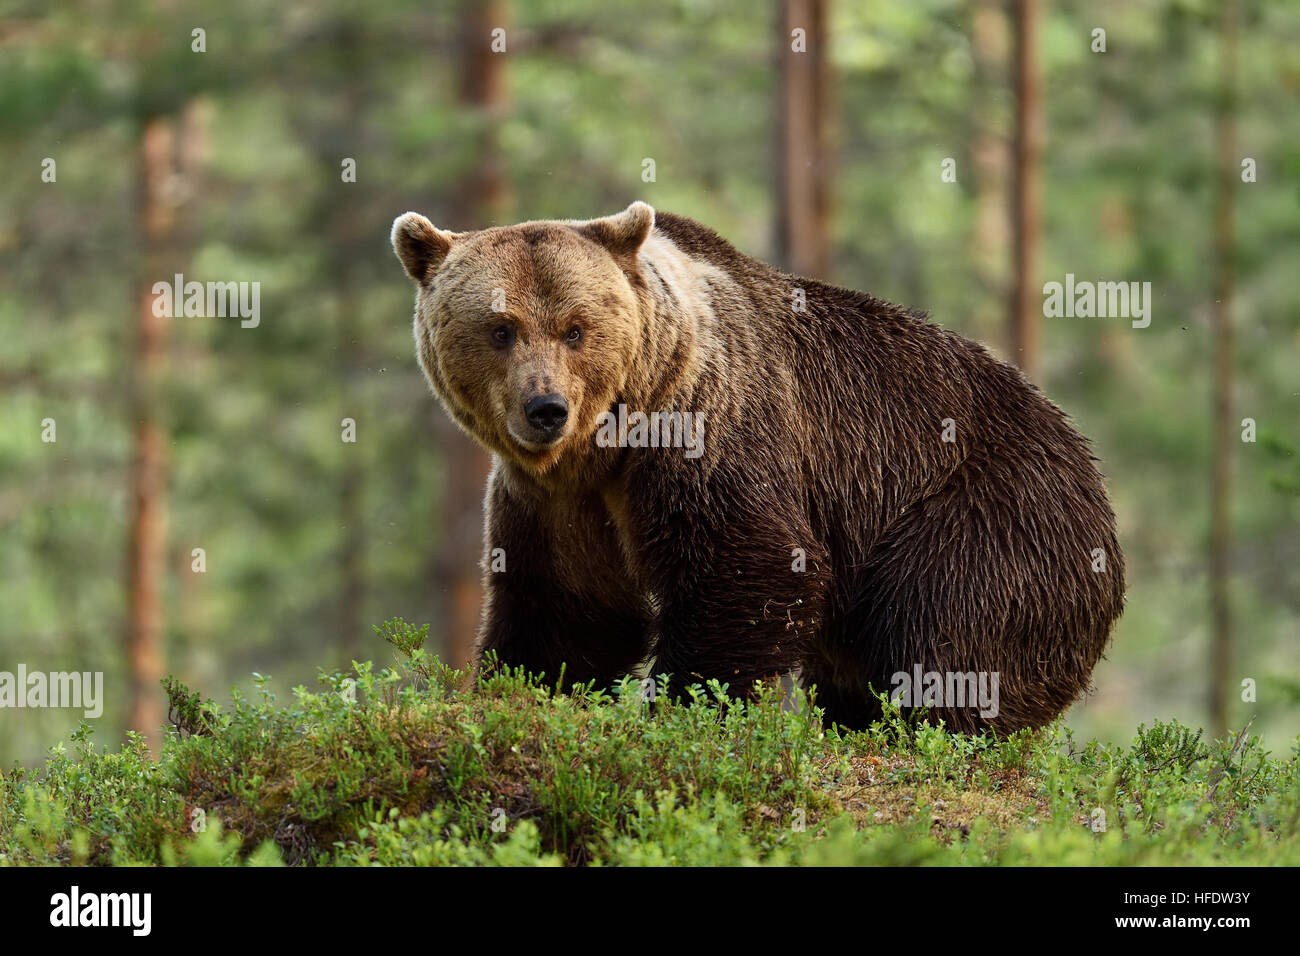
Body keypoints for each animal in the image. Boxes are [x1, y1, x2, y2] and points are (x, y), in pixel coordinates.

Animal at [391, 201, 1125, 734]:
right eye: (501, 329)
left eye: (576, 329)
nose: (546, 408)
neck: (607, 447)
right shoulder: (555, 504)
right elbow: (567, 609)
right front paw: (522, 688)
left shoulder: (709, 433)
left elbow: (748, 565)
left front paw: (681, 703)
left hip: (986, 516)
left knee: (946, 634)